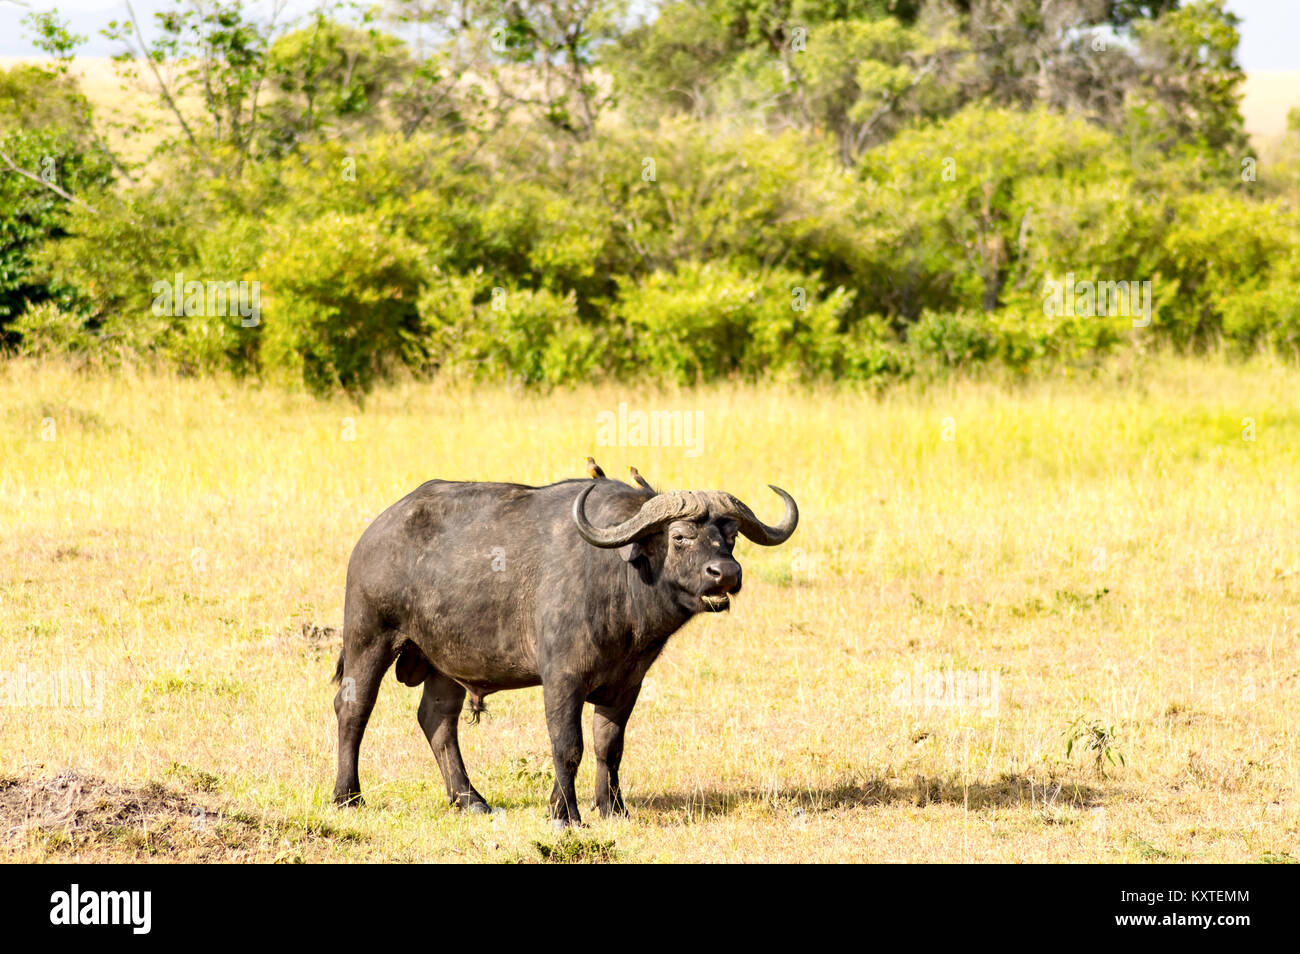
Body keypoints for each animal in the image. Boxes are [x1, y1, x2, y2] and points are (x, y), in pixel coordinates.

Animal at [331, 465, 798, 825]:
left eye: (731, 535)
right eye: (680, 536)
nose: (726, 574)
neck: (620, 580)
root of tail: (374, 533)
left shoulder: (627, 684)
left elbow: (609, 746)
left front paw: (612, 809)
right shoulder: (562, 679)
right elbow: (567, 745)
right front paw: (566, 814)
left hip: (445, 661)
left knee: (437, 720)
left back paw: (471, 800)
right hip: (368, 637)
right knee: (353, 709)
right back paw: (348, 797)